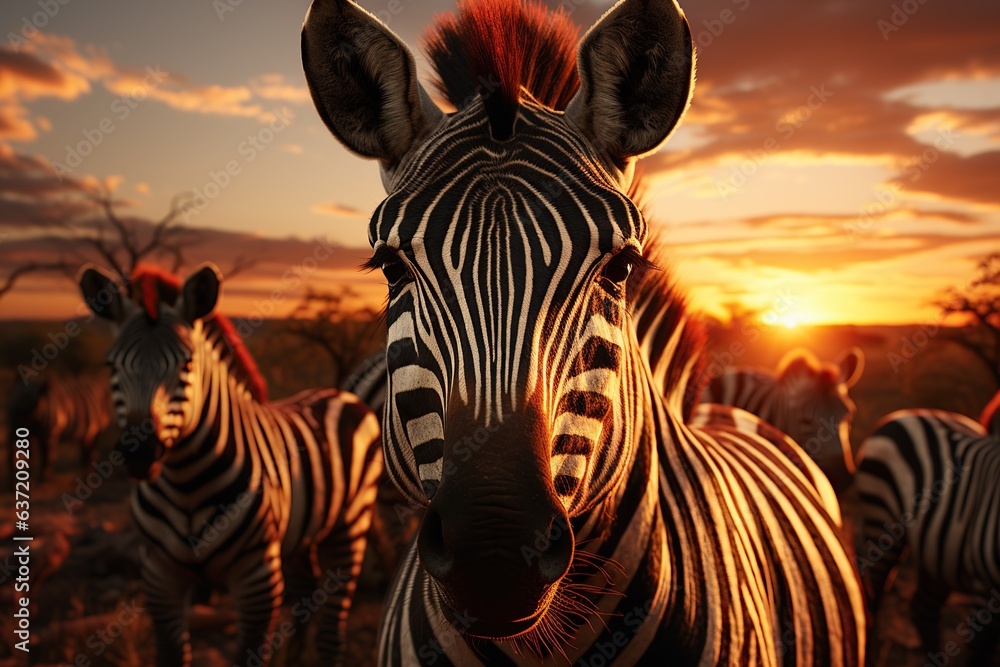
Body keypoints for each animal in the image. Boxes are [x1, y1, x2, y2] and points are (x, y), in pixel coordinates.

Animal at [77, 263, 383, 667]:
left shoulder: (257, 579)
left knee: (332, 629)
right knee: (306, 592)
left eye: (186, 364)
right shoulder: (158, 575)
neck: (185, 483)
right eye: (111, 365)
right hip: (302, 533)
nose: (140, 453)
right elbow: (172, 652)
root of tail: (342, 394)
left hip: (351, 525)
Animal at [855, 402, 1000, 663]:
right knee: (873, 596)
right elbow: (979, 652)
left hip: (941, 555)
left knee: (923, 609)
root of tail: (908, 412)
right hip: (881, 520)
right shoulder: (985, 587)